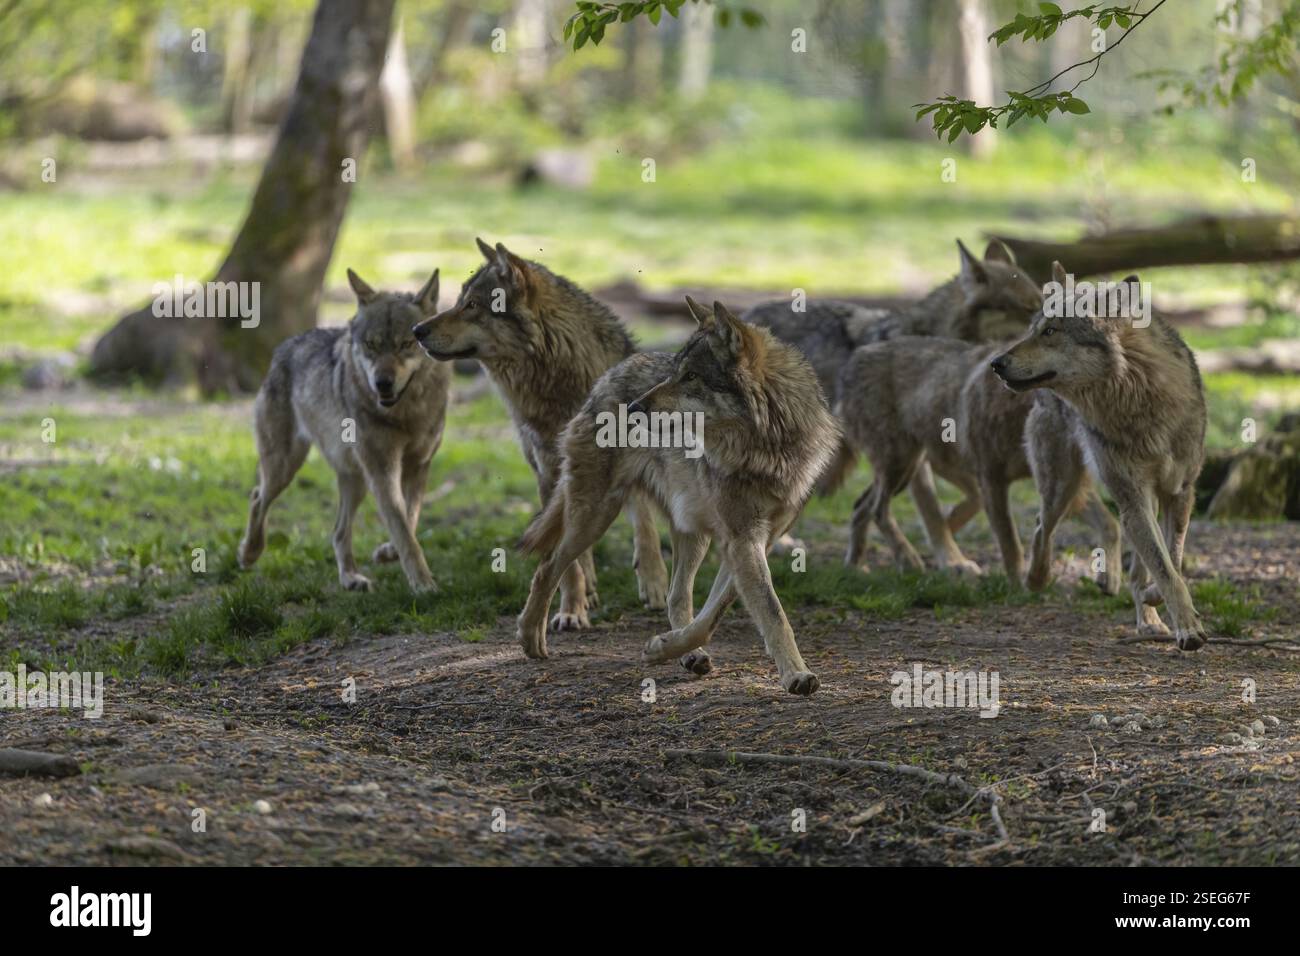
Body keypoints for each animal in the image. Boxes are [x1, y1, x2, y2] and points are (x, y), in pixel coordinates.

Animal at [238, 268, 450, 592]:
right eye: (371, 345)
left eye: (405, 344)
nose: (382, 383)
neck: (405, 415)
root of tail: (285, 345)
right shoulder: (383, 471)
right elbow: (403, 529)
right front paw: (423, 584)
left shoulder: (418, 466)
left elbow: (410, 519)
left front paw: (389, 552)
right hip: (285, 468)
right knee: (257, 497)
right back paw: (250, 553)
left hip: (355, 479)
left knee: (338, 531)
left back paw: (350, 577)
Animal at [413, 239, 669, 630]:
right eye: (458, 301)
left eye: (471, 305)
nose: (417, 330)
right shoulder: (548, 472)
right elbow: (564, 563)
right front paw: (571, 609)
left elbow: (643, 519)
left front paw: (654, 582)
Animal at [517, 298, 841, 695]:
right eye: (675, 372)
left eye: (692, 377)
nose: (634, 408)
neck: (767, 447)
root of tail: (611, 372)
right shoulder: (742, 539)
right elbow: (772, 612)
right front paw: (796, 674)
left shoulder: (753, 541)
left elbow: (713, 615)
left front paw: (665, 648)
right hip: (596, 515)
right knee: (548, 566)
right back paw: (530, 637)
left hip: (691, 531)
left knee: (675, 596)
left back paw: (689, 655)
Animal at [836, 335, 1121, 590]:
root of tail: (855, 358)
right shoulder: (992, 478)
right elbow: (1009, 540)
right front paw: (1018, 585)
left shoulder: (1069, 486)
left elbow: (1111, 525)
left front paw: (1109, 579)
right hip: (902, 463)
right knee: (877, 510)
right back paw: (908, 561)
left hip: (905, 468)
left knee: (861, 506)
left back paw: (856, 567)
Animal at [991, 263, 1208, 650]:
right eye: (1032, 330)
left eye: (1050, 332)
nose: (996, 364)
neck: (1137, 399)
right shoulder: (1132, 497)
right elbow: (1165, 567)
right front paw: (1188, 628)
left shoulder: (1179, 492)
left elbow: (1172, 560)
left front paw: (1158, 601)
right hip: (1061, 485)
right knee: (1042, 526)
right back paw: (1037, 578)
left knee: (1130, 553)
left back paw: (1147, 618)